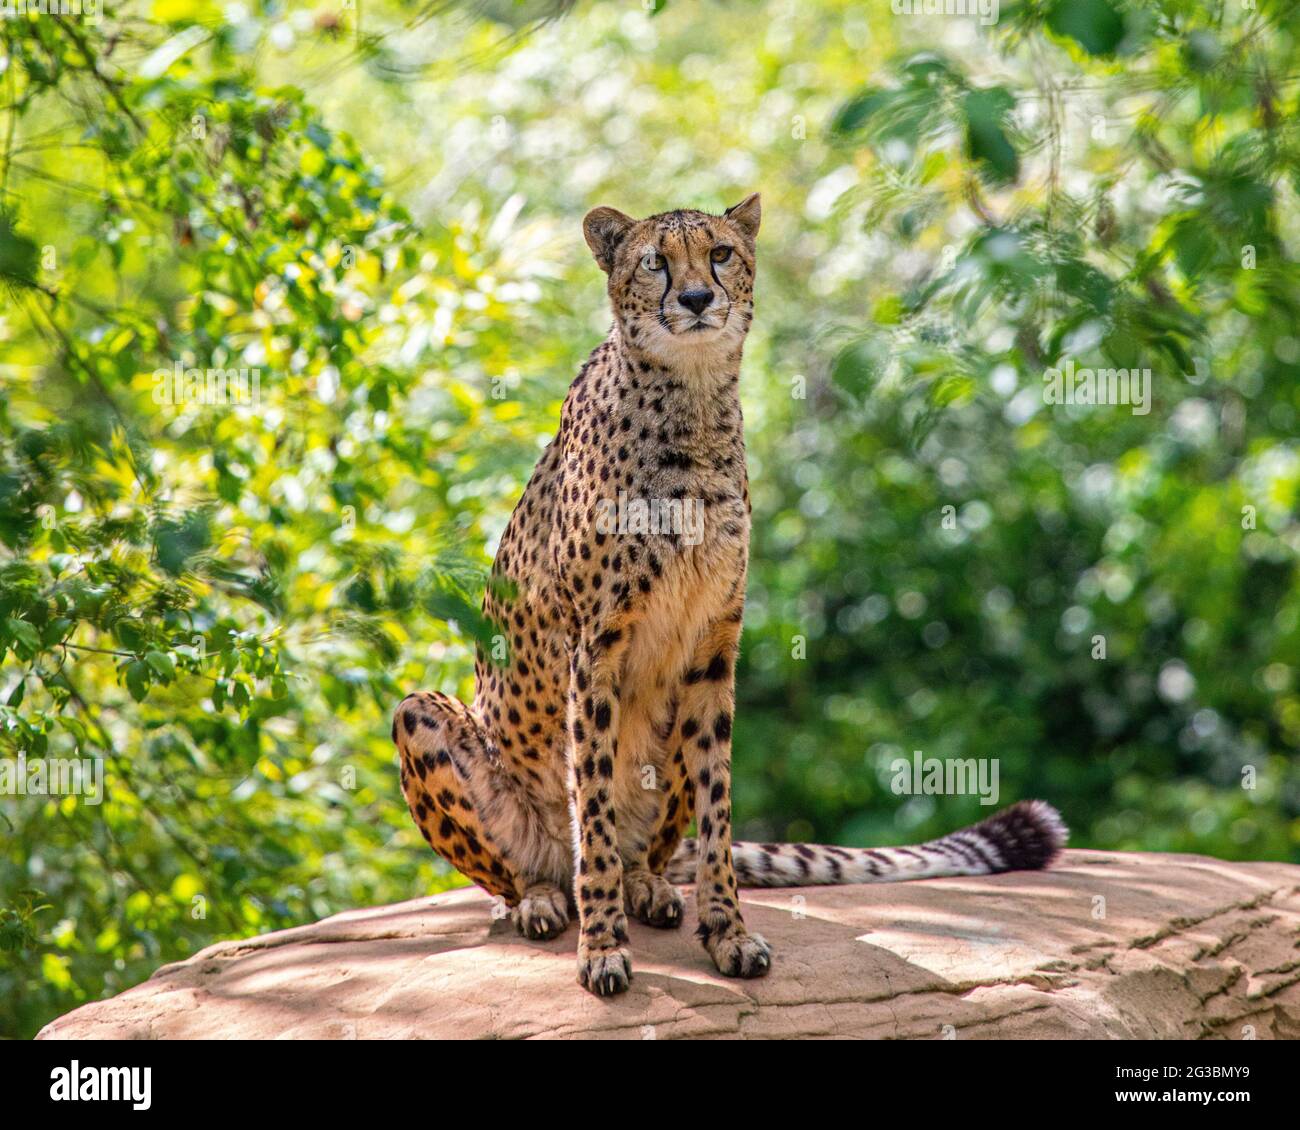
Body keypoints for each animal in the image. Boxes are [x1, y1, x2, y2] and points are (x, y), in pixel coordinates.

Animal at [392, 193, 1068, 997]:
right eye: (654, 261)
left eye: (719, 253)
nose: (694, 299)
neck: (690, 401)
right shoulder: (595, 649)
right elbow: (592, 796)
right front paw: (602, 947)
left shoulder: (715, 647)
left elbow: (716, 806)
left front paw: (727, 933)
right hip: (424, 721)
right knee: (524, 867)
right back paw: (544, 900)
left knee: (649, 850)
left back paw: (647, 887)